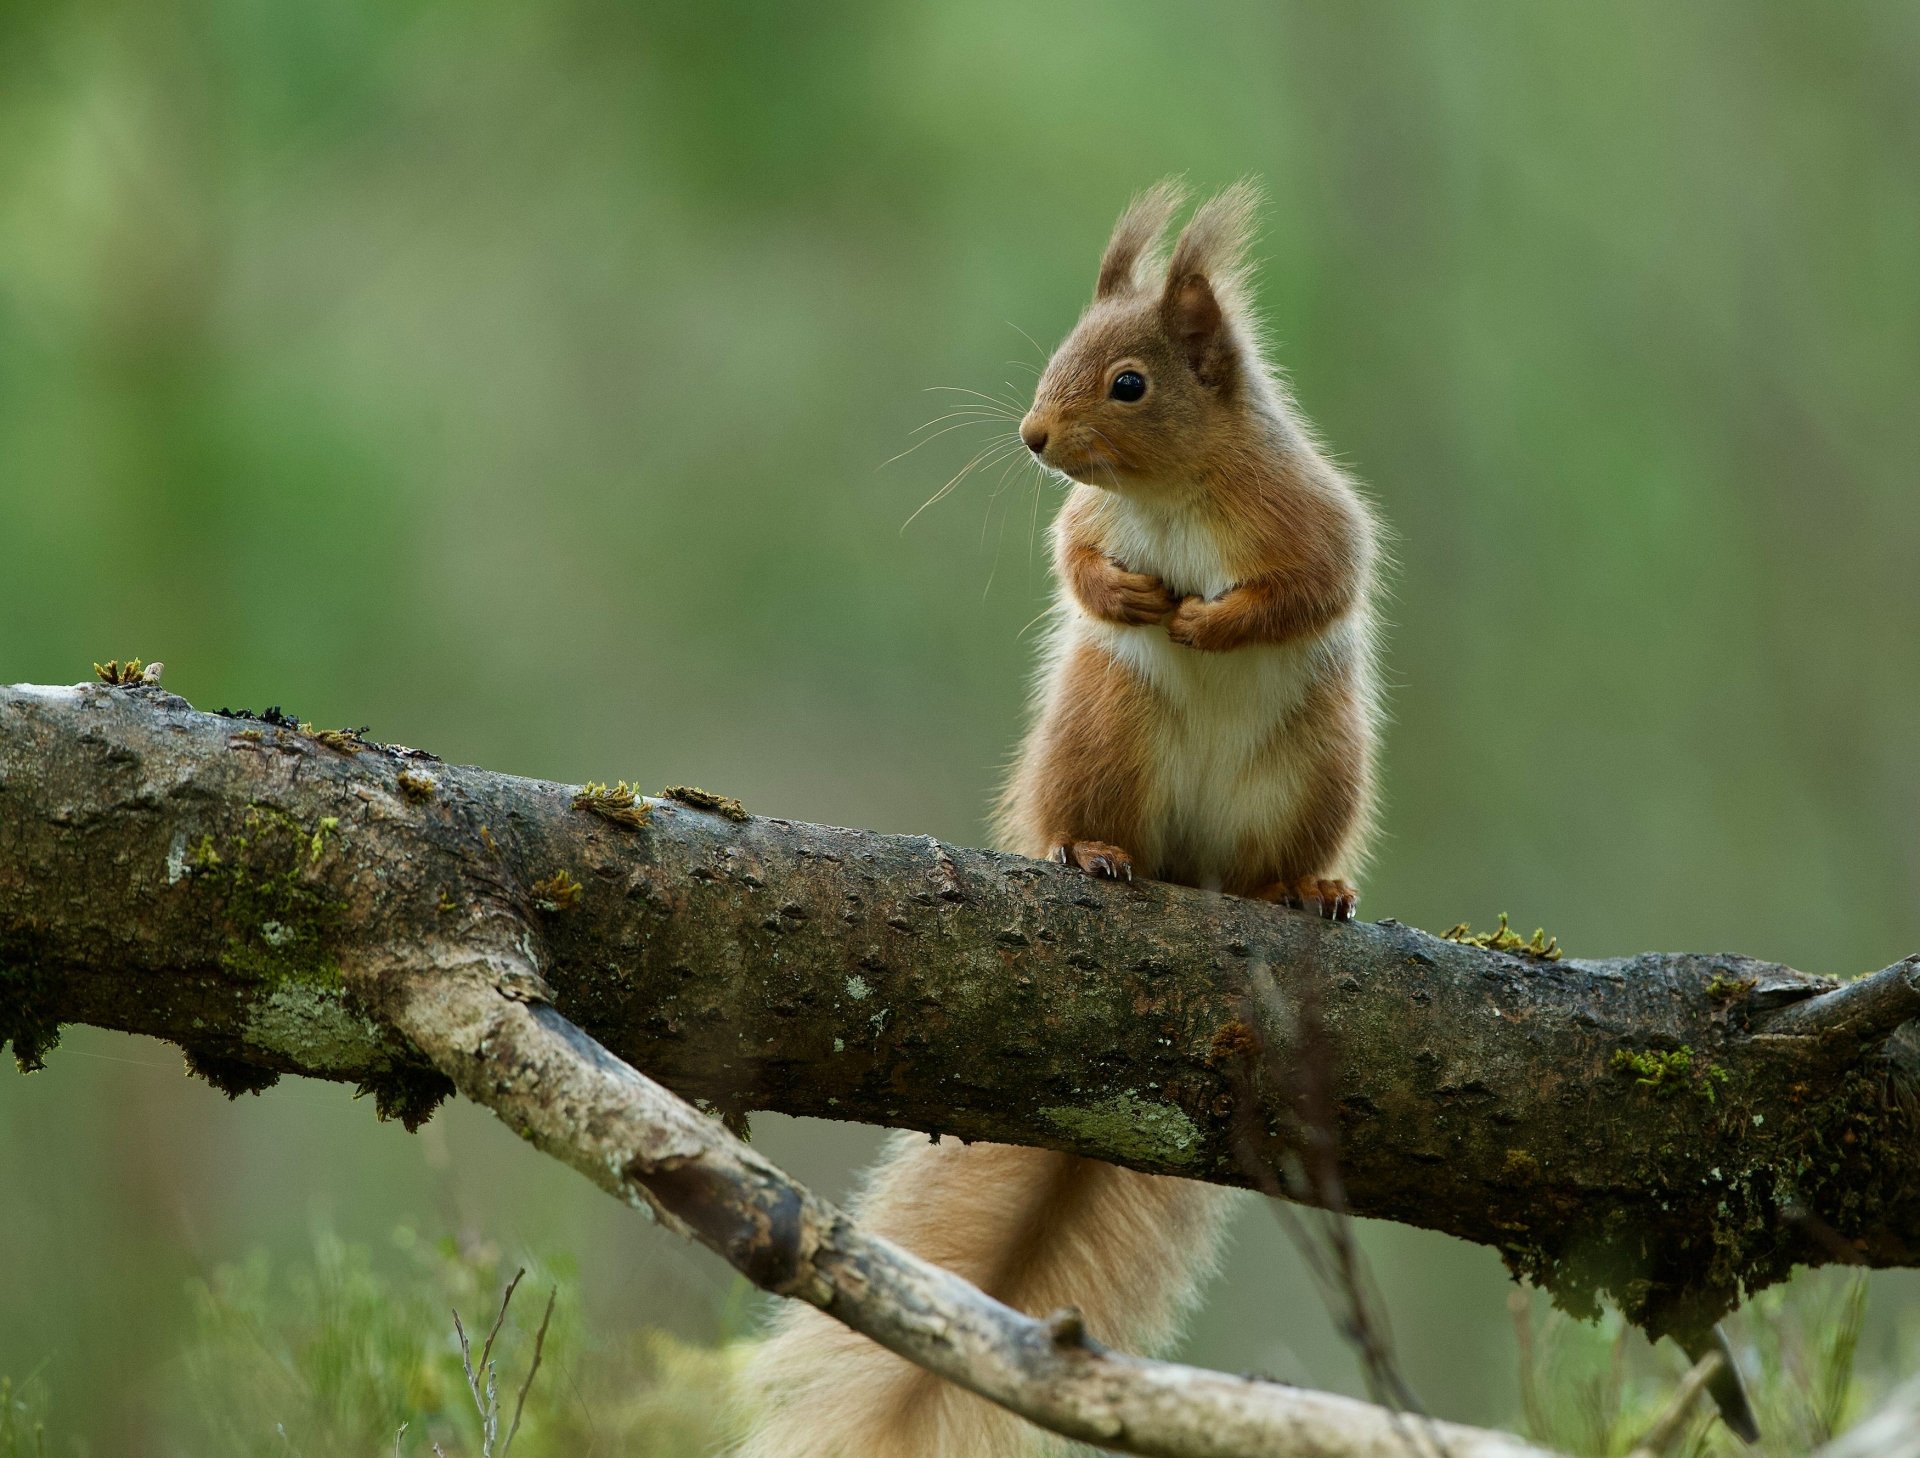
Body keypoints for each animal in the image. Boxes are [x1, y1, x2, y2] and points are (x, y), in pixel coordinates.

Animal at [738, 179, 1382, 1458]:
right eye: (1056, 359)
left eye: (1129, 382)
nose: (1035, 438)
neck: (1171, 495)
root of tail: (1193, 865)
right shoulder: (1088, 527)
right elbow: (1077, 562)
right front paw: (1131, 595)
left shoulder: (1308, 520)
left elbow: (1311, 587)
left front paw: (1214, 622)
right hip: (1101, 731)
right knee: (1098, 818)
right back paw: (1095, 852)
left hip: (1319, 764)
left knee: (1283, 858)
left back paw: (1304, 888)